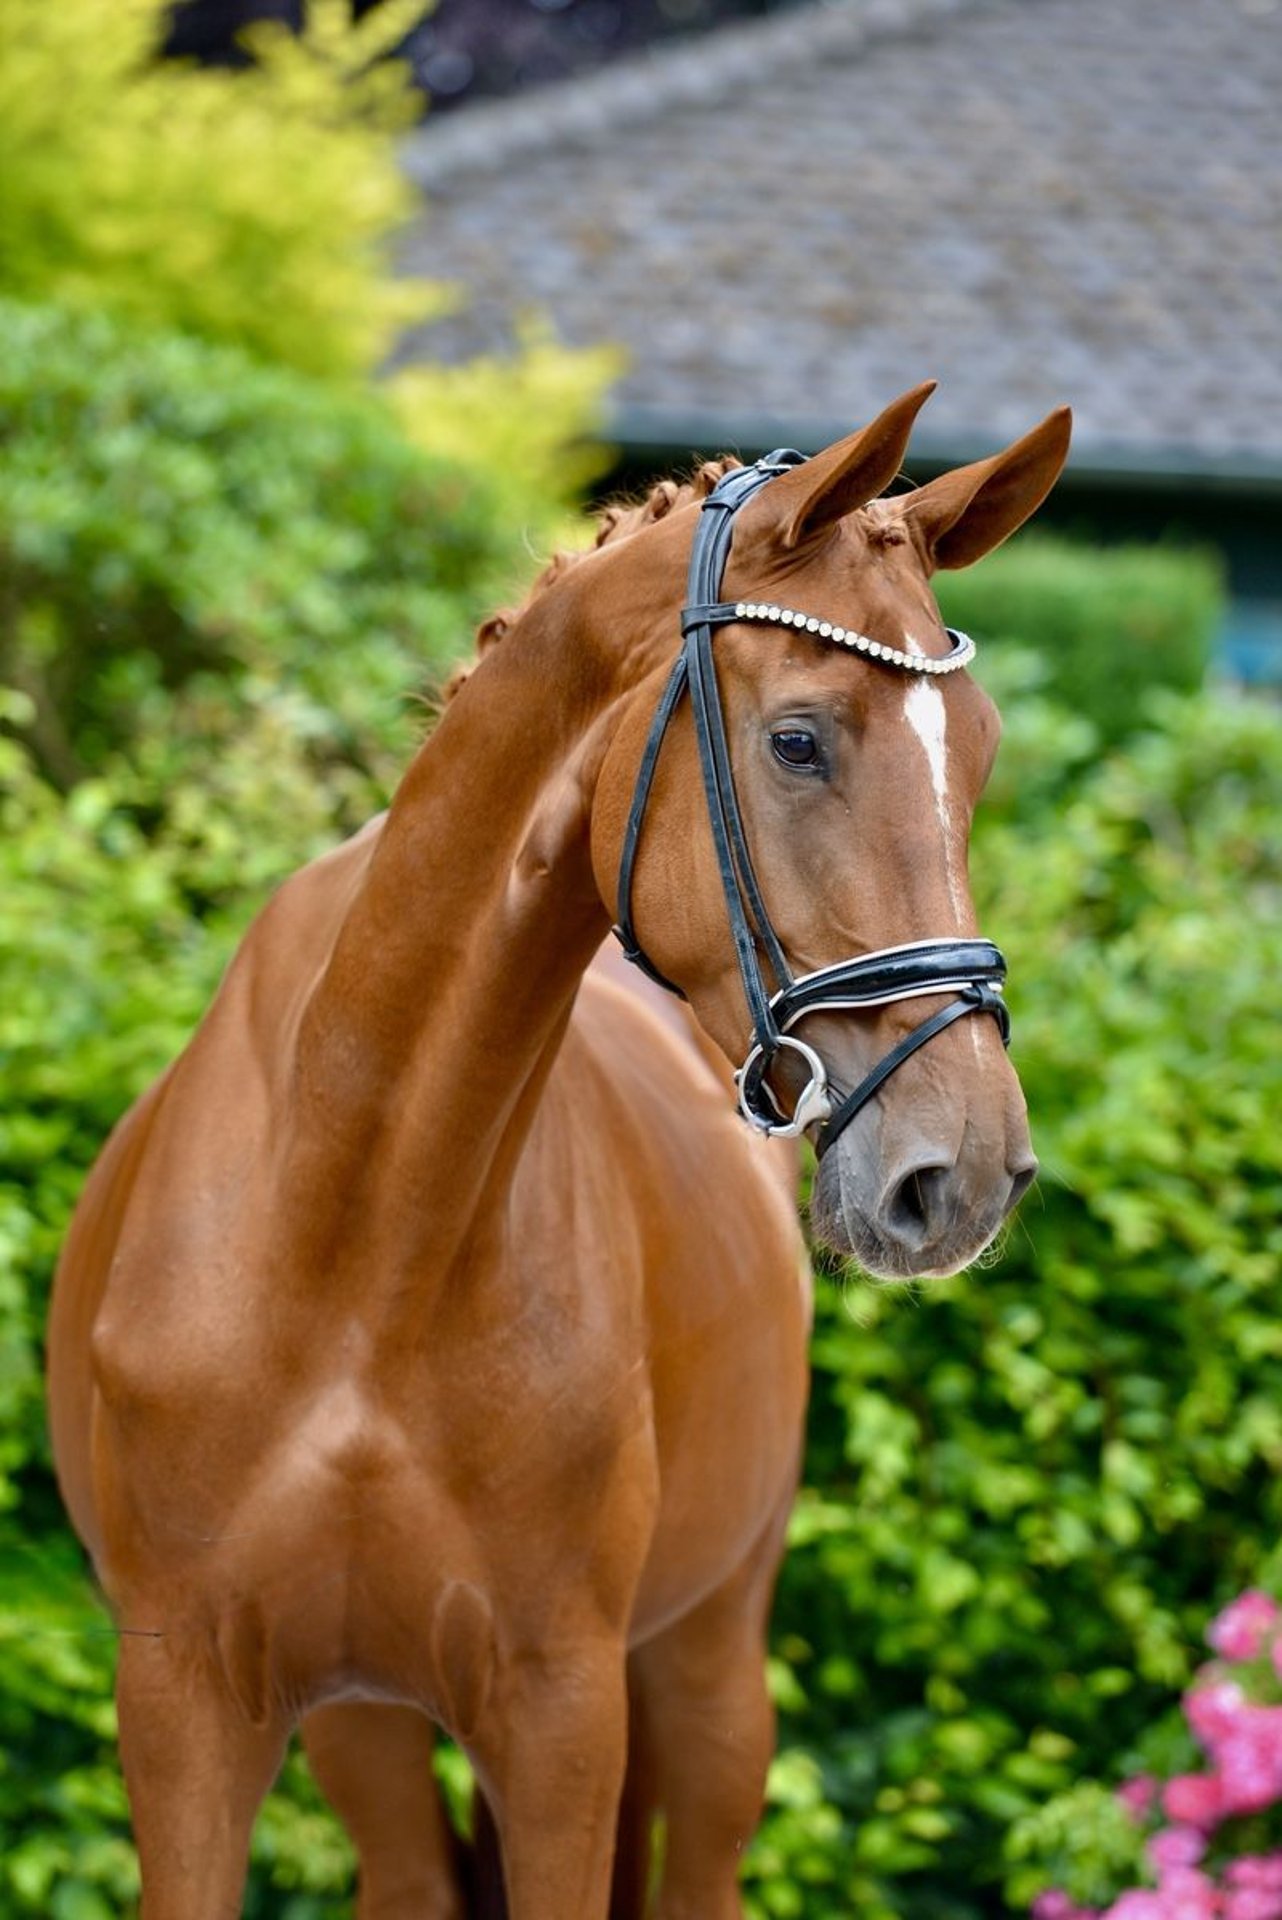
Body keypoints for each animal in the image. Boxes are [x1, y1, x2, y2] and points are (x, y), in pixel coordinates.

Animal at [47, 382, 1069, 1919]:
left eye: (985, 755)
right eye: (799, 741)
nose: (965, 1175)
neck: (353, 1233)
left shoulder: (559, 1712)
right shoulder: (185, 1711)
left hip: (705, 1673)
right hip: (365, 1728)